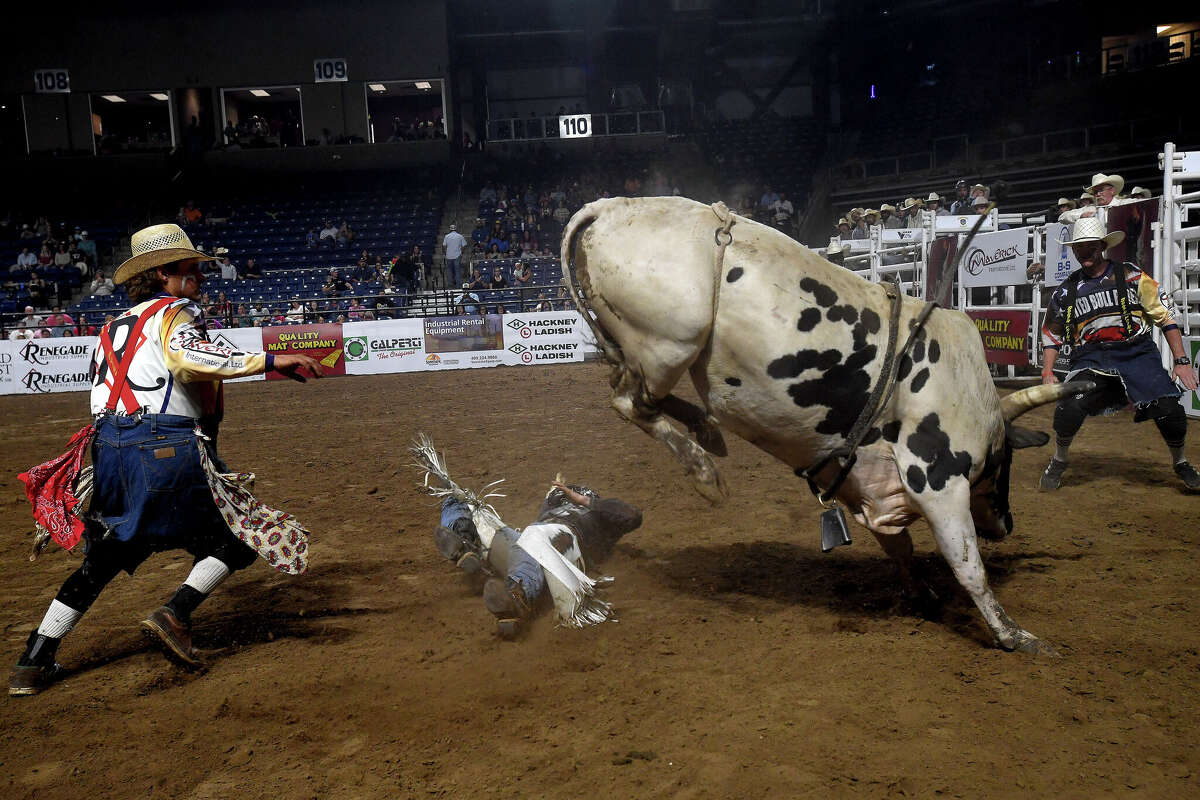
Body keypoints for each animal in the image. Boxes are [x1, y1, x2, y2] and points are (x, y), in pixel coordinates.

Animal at [561, 196, 1086, 654]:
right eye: (1005, 463)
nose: (1007, 523)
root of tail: (609, 207)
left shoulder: (868, 486)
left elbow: (900, 548)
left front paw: (923, 598)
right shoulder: (937, 479)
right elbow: (968, 566)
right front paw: (1015, 636)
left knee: (634, 393)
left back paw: (708, 433)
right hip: (670, 345)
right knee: (630, 402)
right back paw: (705, 473)